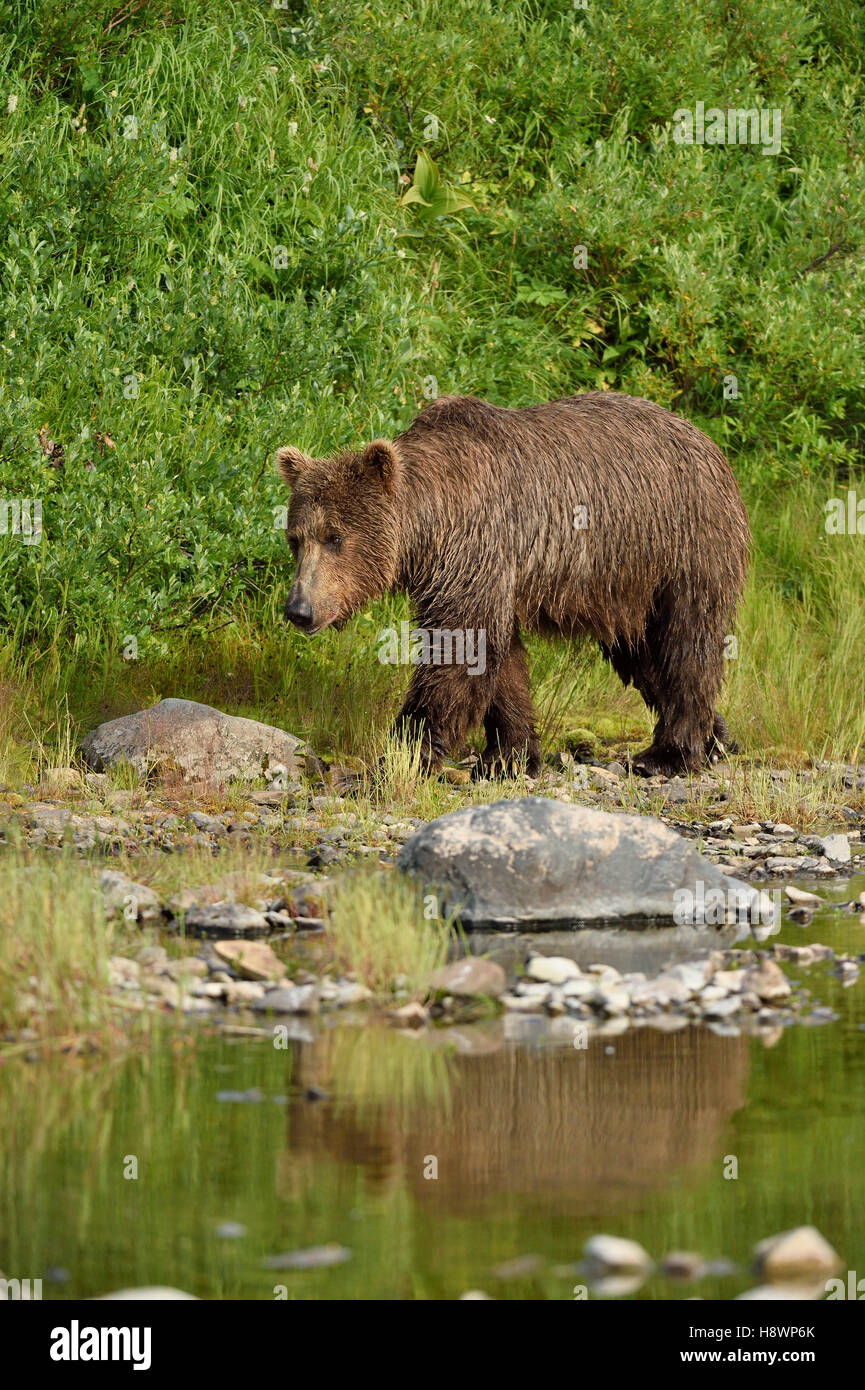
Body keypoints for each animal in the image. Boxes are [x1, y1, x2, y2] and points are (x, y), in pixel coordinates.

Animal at [276, 392, 750, 778]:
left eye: (335, 537)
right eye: (295, 538)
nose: (299, 609)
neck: (433, 524)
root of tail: (709, 442)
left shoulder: (479, 549)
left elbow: (457, 651)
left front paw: (398, 755)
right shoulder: (489, 575)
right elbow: (501, 664)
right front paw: (510, 756)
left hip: (682, 545)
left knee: (686, 641)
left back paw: (668, 754)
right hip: (628, 586)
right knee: (643, 653)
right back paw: (716, 736)